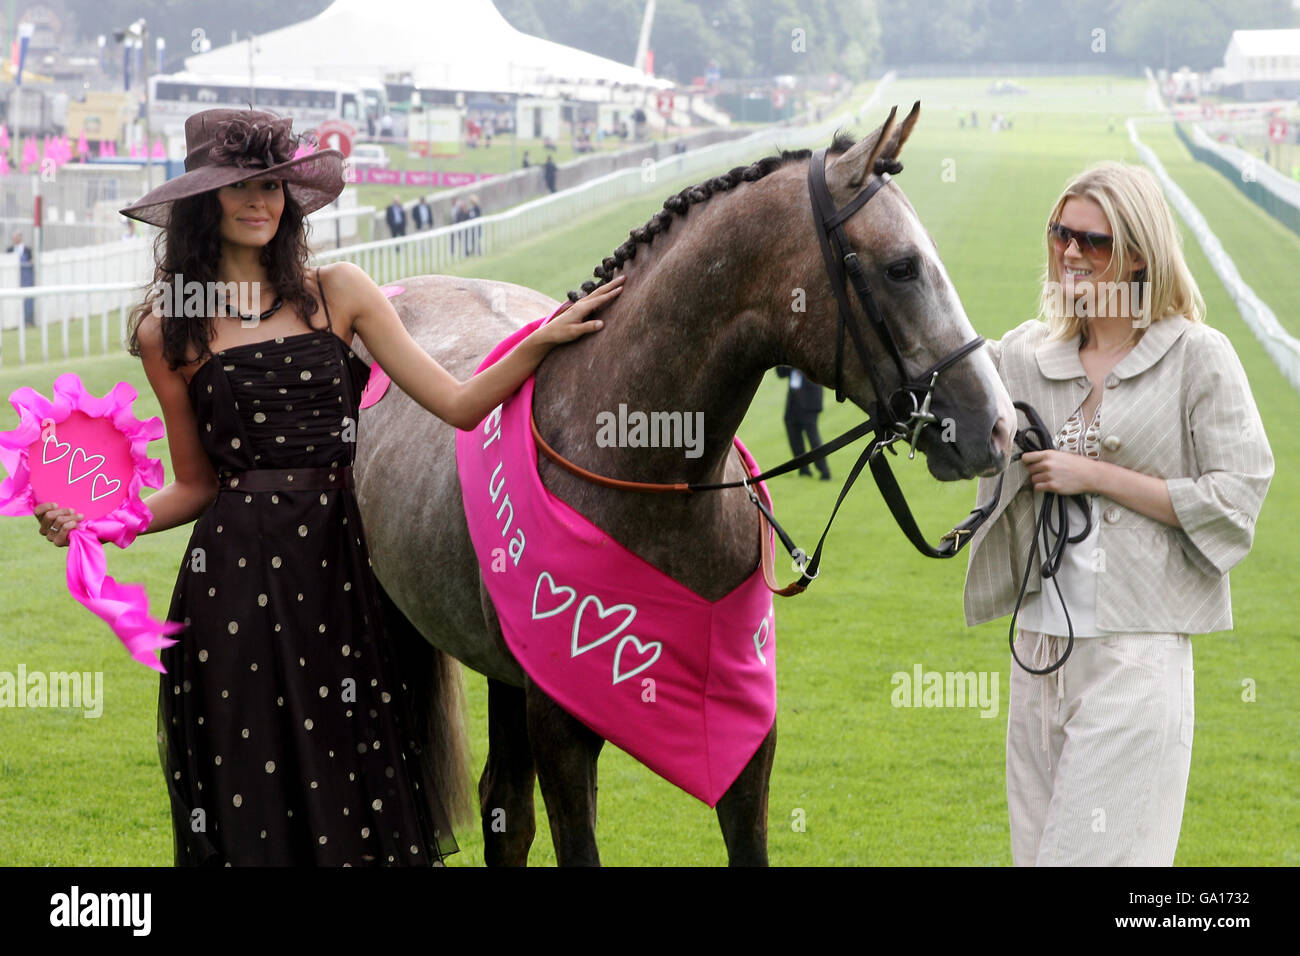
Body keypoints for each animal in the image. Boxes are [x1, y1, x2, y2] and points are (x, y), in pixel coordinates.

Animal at [350, 104, 1017, 866]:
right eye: (902, 267)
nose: (996, 423)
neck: (650, 483)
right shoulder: (561, 719)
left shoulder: (744, 733)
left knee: (505, 812)